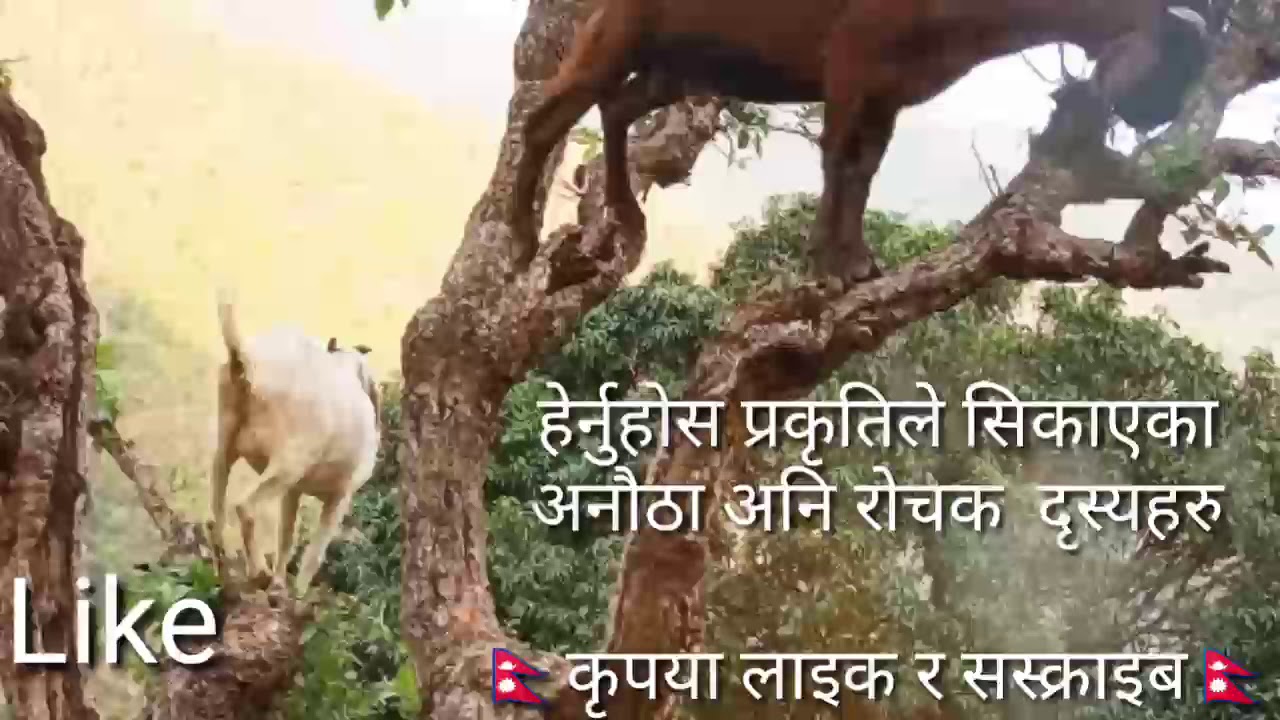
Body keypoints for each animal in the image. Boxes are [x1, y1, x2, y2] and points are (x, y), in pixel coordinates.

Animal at [210, 300, 381, 595]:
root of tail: (245, 362)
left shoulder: (293, 491)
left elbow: (286, 540)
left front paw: (279, 586)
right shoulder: (340, 496)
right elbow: (314, 554)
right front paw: (298, 594)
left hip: (227, 447)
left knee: (217, 510)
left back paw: (224, 565)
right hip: (287, 464)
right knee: (245, 507)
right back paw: (258, 572)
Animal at [507, 0, 1212, 287]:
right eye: (1177, 58)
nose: (1154, 115)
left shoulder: (891, 90)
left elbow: (865, 167)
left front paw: (857, 257)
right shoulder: (852, 62)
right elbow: (837, 157)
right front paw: (827, 264)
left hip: (681, 63)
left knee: (618, 107)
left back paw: (625, 216)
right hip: (624, 31)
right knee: (547, 118)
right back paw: (519, 240)